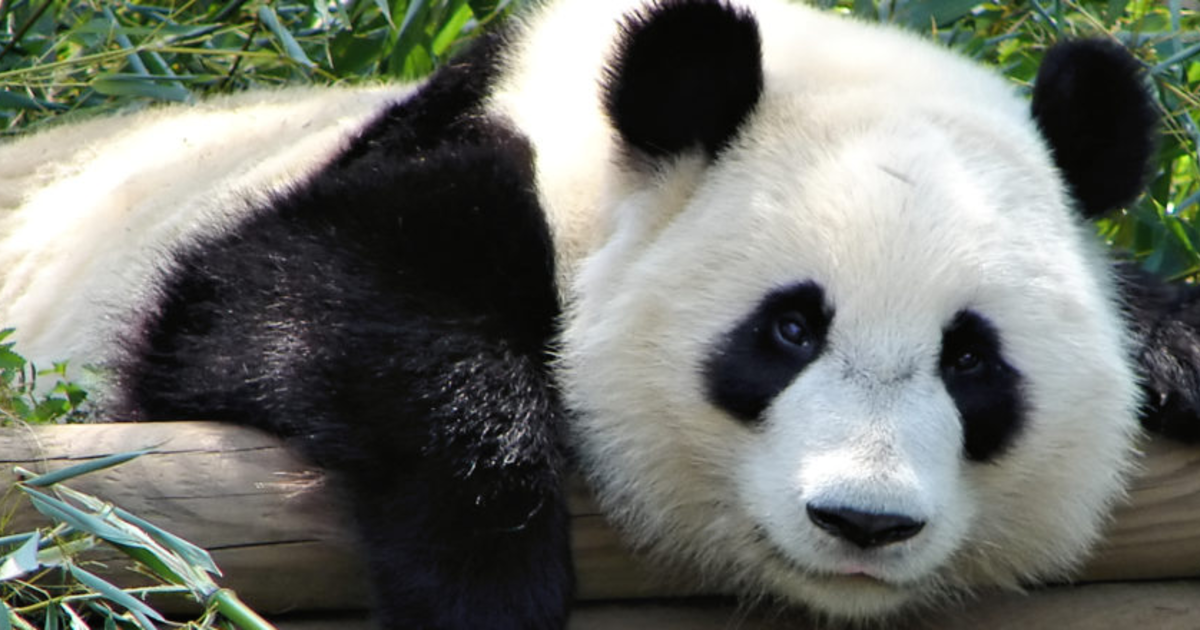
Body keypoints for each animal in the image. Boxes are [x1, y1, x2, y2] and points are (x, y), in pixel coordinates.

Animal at [1, 0, 1197, 628]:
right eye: (789, 330)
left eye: (971, 361)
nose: (864, 521)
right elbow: (278, 306)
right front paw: (487, 584)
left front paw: (1174, 348)